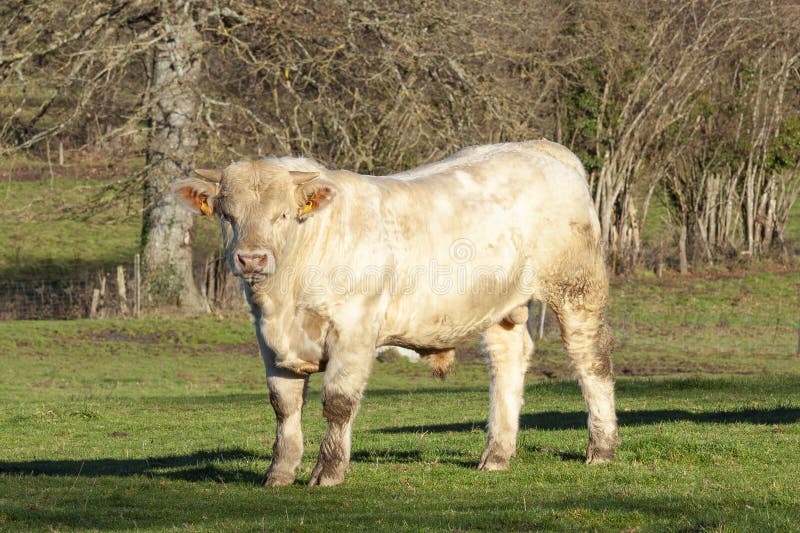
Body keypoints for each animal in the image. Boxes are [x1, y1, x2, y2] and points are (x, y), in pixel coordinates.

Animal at [172, 139, 619, 487]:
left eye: (282, 215)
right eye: (227, 215)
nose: (251, 259)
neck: (286, 296)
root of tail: (544, 148)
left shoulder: (354, 328)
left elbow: (338, 402)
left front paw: (328, 472)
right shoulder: (269, 339)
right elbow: (284, 404)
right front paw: (278, 473)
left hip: (577, 287)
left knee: (591, 360)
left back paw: (601, 448)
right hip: (499, 306)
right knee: (508, 361)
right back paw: (496, 456)